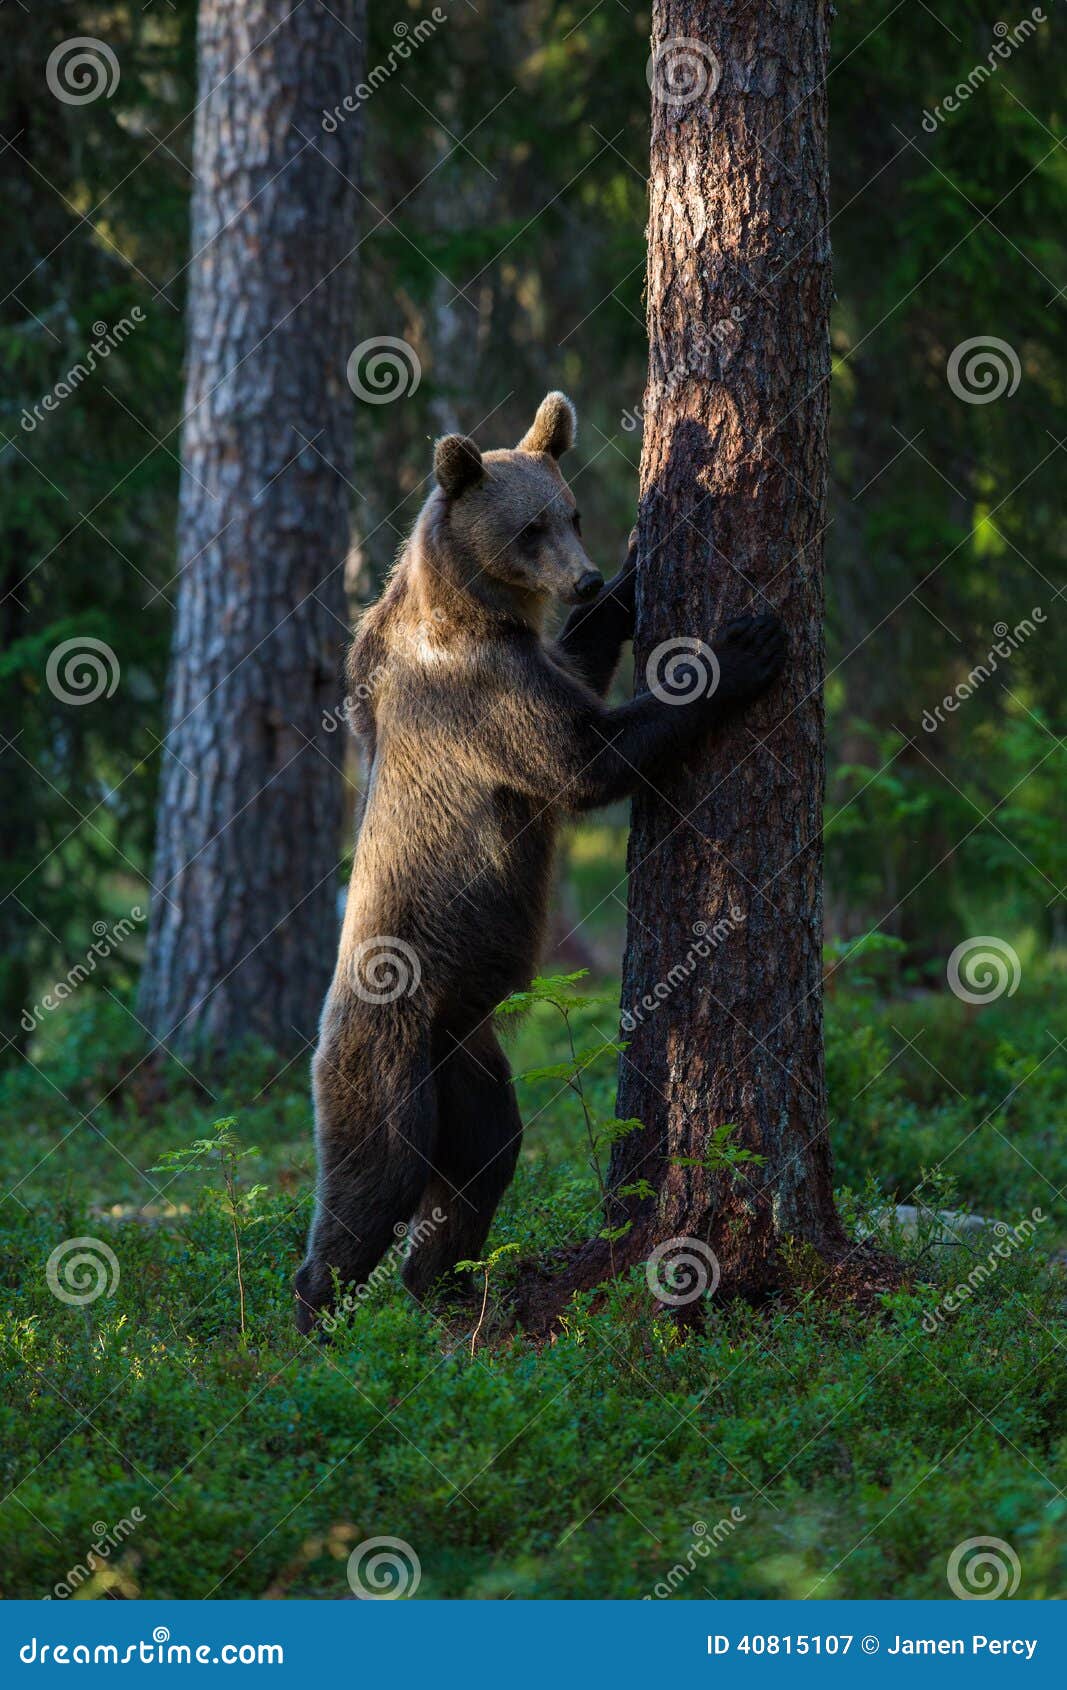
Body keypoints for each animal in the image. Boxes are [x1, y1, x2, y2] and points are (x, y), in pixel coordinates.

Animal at [294, 391, 785, 1332]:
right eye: (528, 529)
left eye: (572, 513)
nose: (583, 578)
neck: (476, 608)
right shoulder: (482, 693)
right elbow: (588, 758)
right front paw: (744, 645)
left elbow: (581, 670)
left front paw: (630, 585)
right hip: (387, 1046)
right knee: (373, 1181)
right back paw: (313, 1318)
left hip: (467, 1062)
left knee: (482, 1162)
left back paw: (448, 1286)